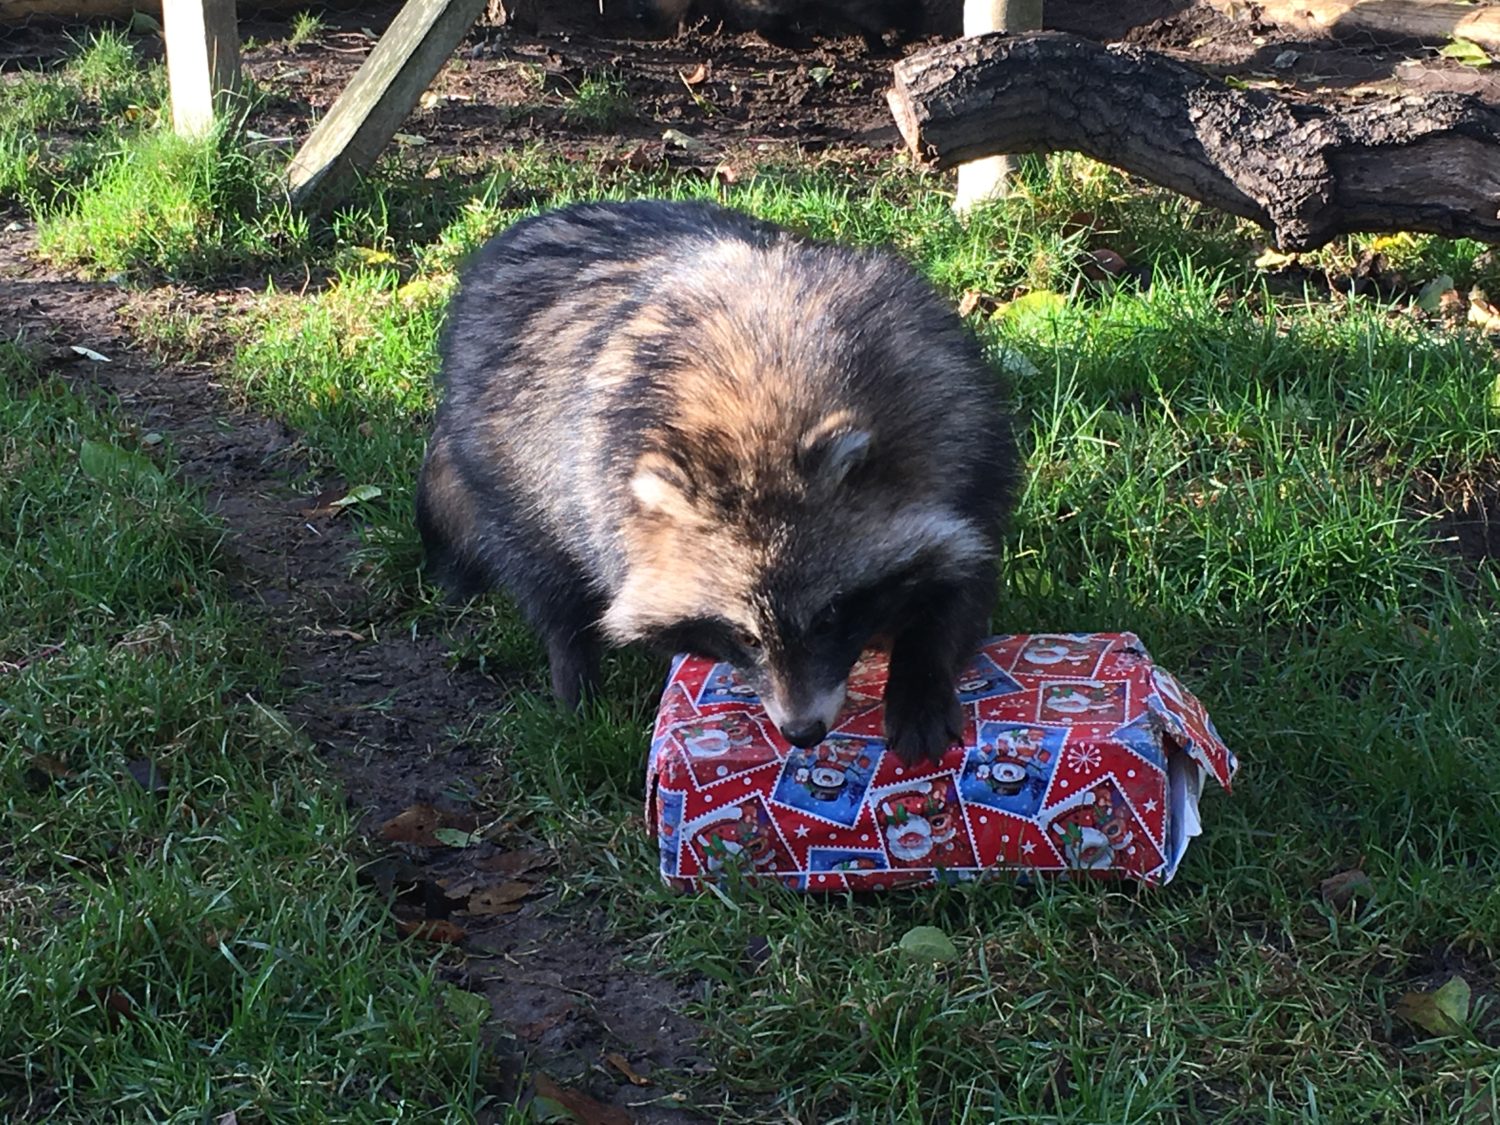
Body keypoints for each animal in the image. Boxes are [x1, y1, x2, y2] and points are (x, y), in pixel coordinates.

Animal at [416, 199, 1017, 765]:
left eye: (827, 616)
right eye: (745, 636)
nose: (802, 733)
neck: (762, 402)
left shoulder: (959, 429)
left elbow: (966, 576)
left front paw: (921, 672)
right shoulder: (609, 490)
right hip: (510, 470)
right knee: (548, 581)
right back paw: (573, 676)